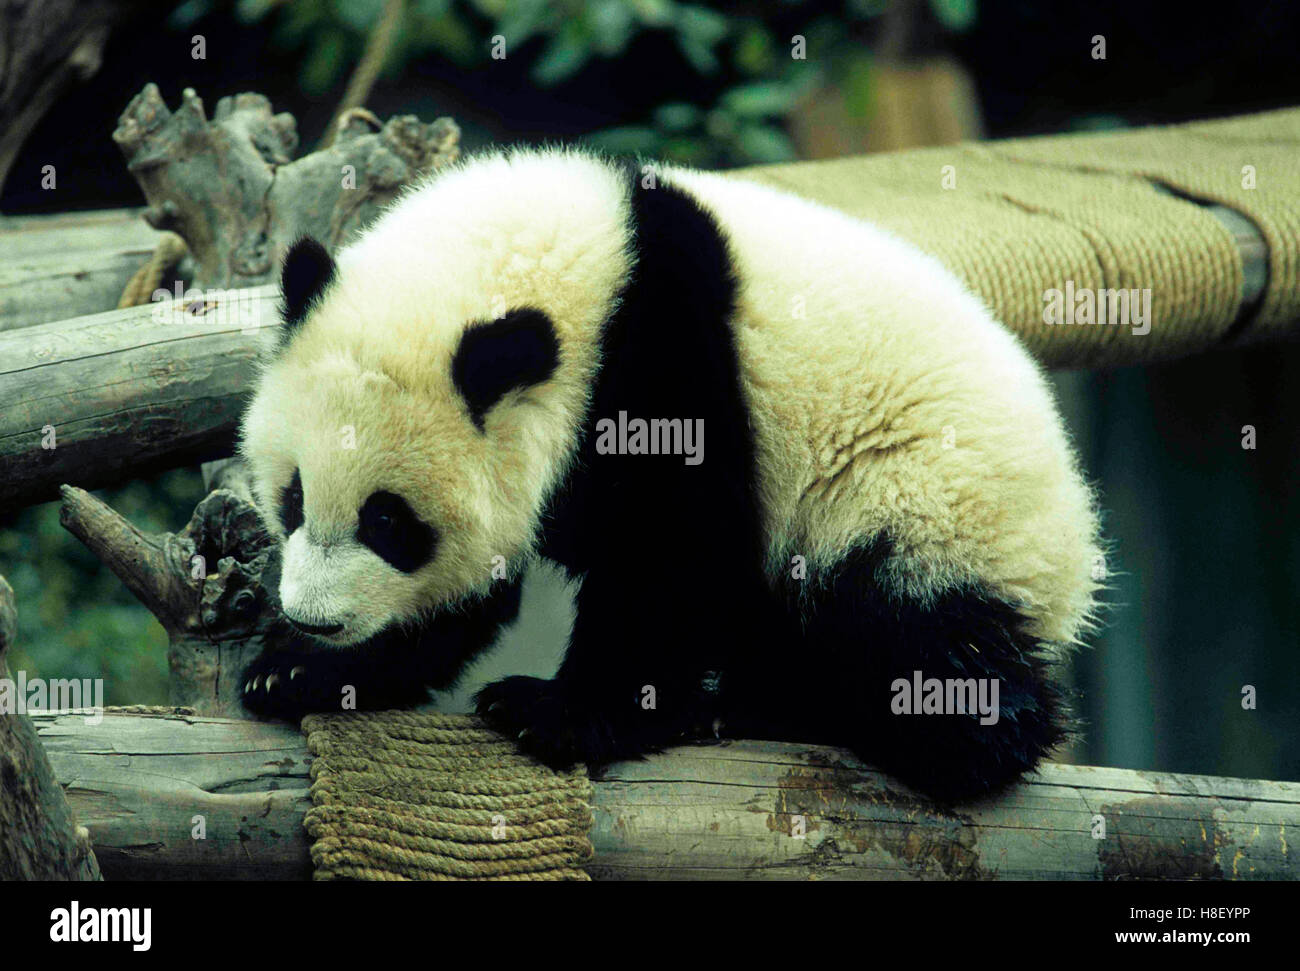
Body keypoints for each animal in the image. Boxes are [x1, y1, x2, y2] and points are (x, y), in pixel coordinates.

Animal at [238, 146, 1101, 801]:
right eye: (293, 498)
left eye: (389, 521)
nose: (314, 616)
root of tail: (1076, 533)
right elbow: (472, 597)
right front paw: (302, 671)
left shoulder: (665, 361)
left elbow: (671, 553)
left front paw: (554, 712)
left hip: (923, 499)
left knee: (920, 645)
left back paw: (788, 707)